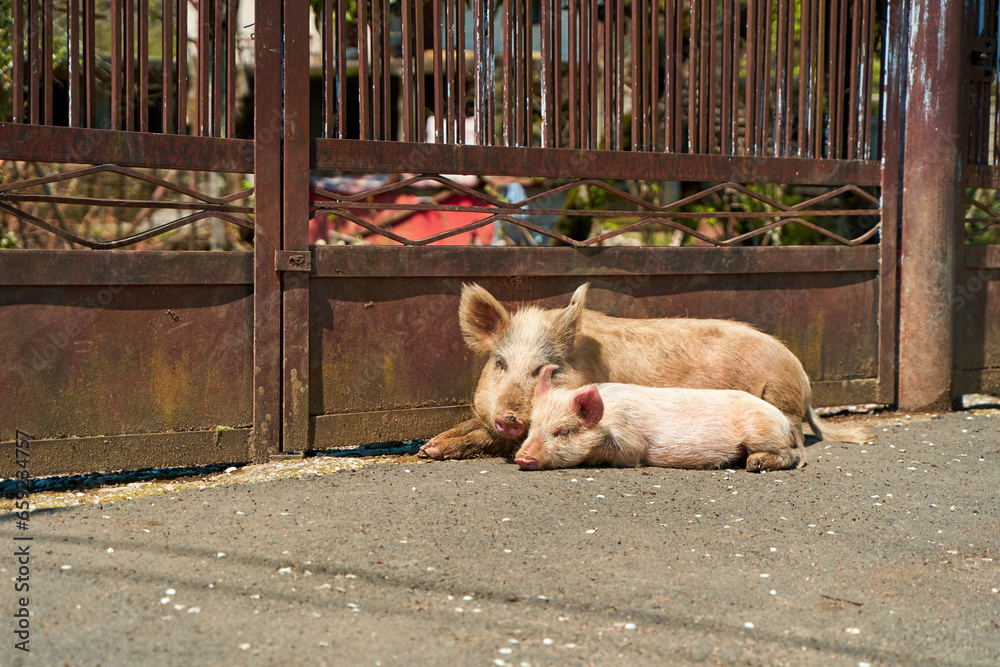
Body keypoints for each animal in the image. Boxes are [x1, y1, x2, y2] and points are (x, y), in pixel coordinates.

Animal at [418, 283, 872, 460]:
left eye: (547, 369)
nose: (510, 417)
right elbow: (474, 426)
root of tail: (804, 378)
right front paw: (428, 448)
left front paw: (432, 450)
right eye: (500, 364)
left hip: (778, 396)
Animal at [514, 365, 803, 472]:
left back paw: (753, 464)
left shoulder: (630, 443)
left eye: (562, 431)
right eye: (532, 428)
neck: (608, 425)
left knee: (790, 455)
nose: (521, 458)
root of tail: (785, 422)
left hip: (761, 431)